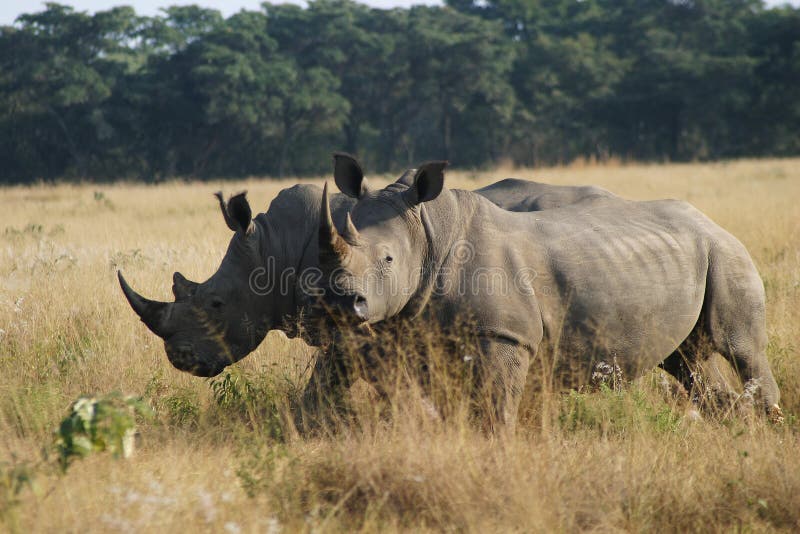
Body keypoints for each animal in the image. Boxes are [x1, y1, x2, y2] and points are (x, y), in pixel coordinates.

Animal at [316, 155, 783, 429]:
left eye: (389, 260)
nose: (342, 304)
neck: (429, 231)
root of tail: (712, 222)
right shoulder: (423, 333)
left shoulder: (504, 335)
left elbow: (495, 410)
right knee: (688, 360)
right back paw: (733, 429)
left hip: (726, 253)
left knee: (741, 349)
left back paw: (766, 430)